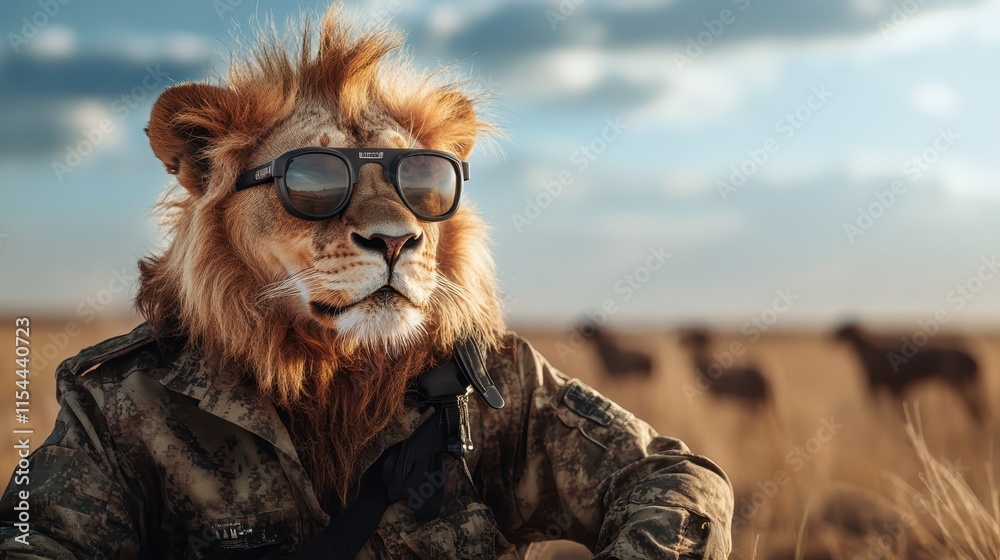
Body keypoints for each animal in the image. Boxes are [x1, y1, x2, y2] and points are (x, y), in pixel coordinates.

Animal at [0, 6, 734, 558]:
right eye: (314, 182)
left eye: (426, 182)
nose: (397, 240)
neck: (329, 372)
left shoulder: (522, 373)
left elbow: (666, 466)